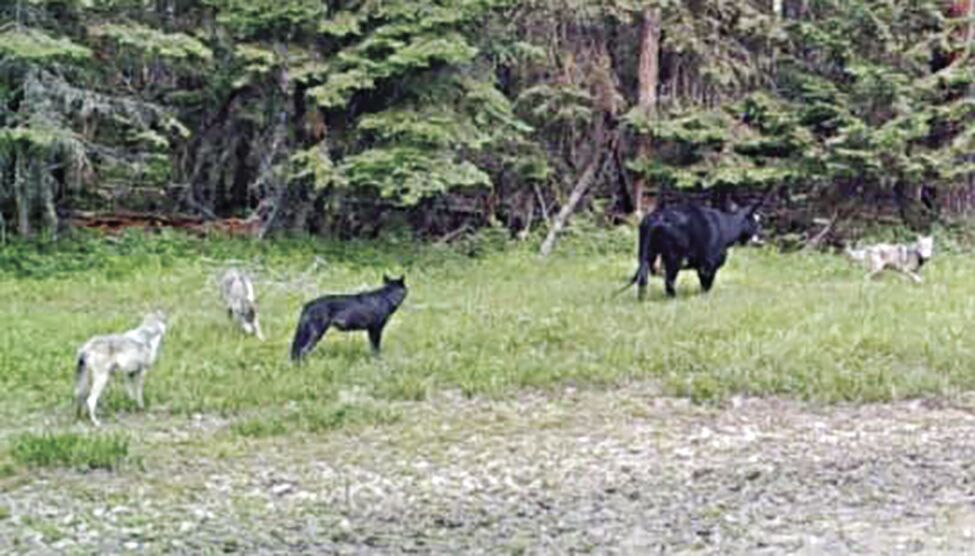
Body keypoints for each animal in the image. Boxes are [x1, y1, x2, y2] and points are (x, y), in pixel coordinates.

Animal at [618, 202, 764, 300]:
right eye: (756, 222)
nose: (762, 236)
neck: (725, 227)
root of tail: (658, 216)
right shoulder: (709, 263)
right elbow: (706, 283)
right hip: (673, 257)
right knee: (668, 280)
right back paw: (673, 298)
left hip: (646, 254)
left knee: (643, 277)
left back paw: (642, 299)